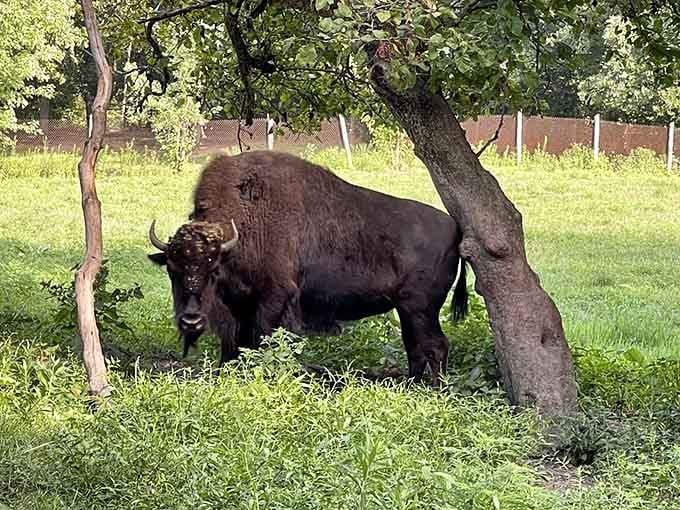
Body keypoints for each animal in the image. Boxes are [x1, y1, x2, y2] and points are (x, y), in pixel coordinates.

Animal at [148, 150, 468, 382]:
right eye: (172, 270)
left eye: (212, 271)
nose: (191, 321)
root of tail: (456, 228)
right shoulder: (240, 307)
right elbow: (236, 345)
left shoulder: (274, 300)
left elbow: (265, 339)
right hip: (407, 310)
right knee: (415, 347)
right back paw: (411, 385)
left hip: (421, 309)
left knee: (435, 345)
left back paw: (435, 389)